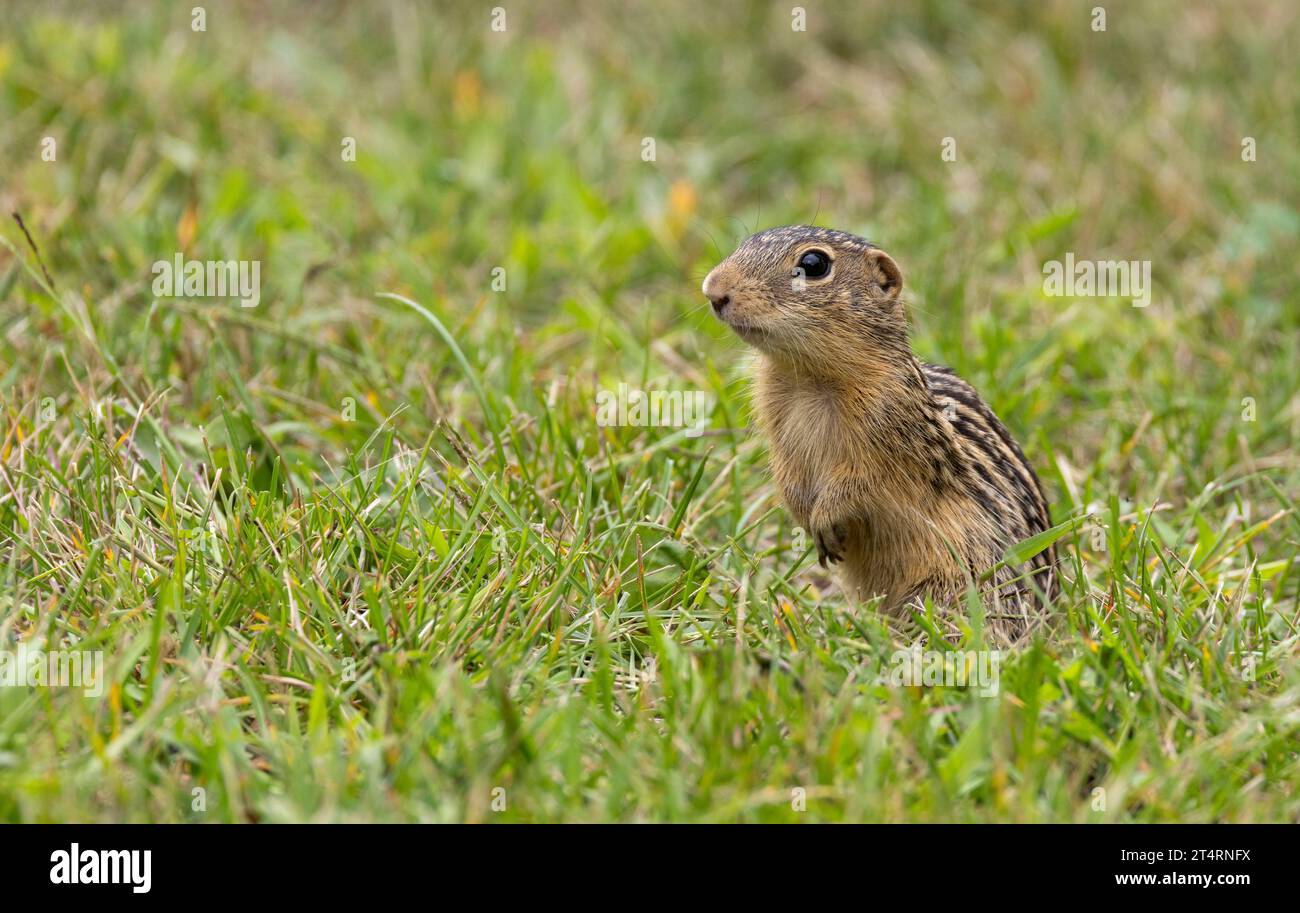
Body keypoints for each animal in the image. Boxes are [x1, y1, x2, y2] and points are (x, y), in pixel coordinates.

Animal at [703, 226, 1057, 636]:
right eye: (746, 242)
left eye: (814, 264)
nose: (713, 290)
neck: (808, 379)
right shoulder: (781, 438)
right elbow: (788, 478)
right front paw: (806, 520)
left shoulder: (890, 445)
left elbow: (858, 485)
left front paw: (823, 521)